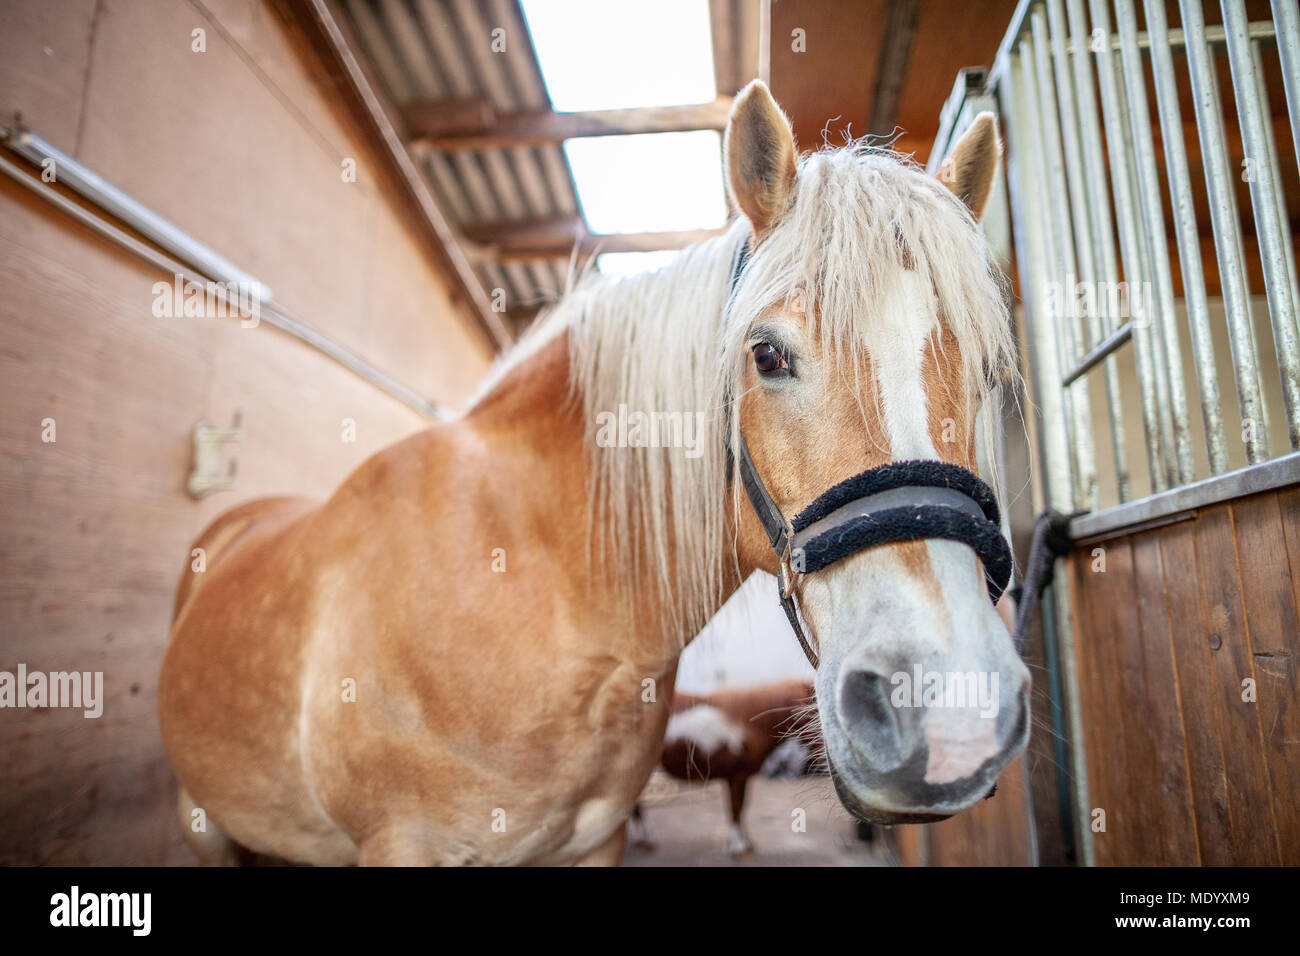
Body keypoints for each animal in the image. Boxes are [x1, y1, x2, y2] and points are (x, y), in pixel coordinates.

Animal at [158, 79, 1029, 866]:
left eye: (990, 372)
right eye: (767, 354)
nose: (952, 707)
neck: (534, 582)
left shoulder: (596, 841)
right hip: (204, 823)